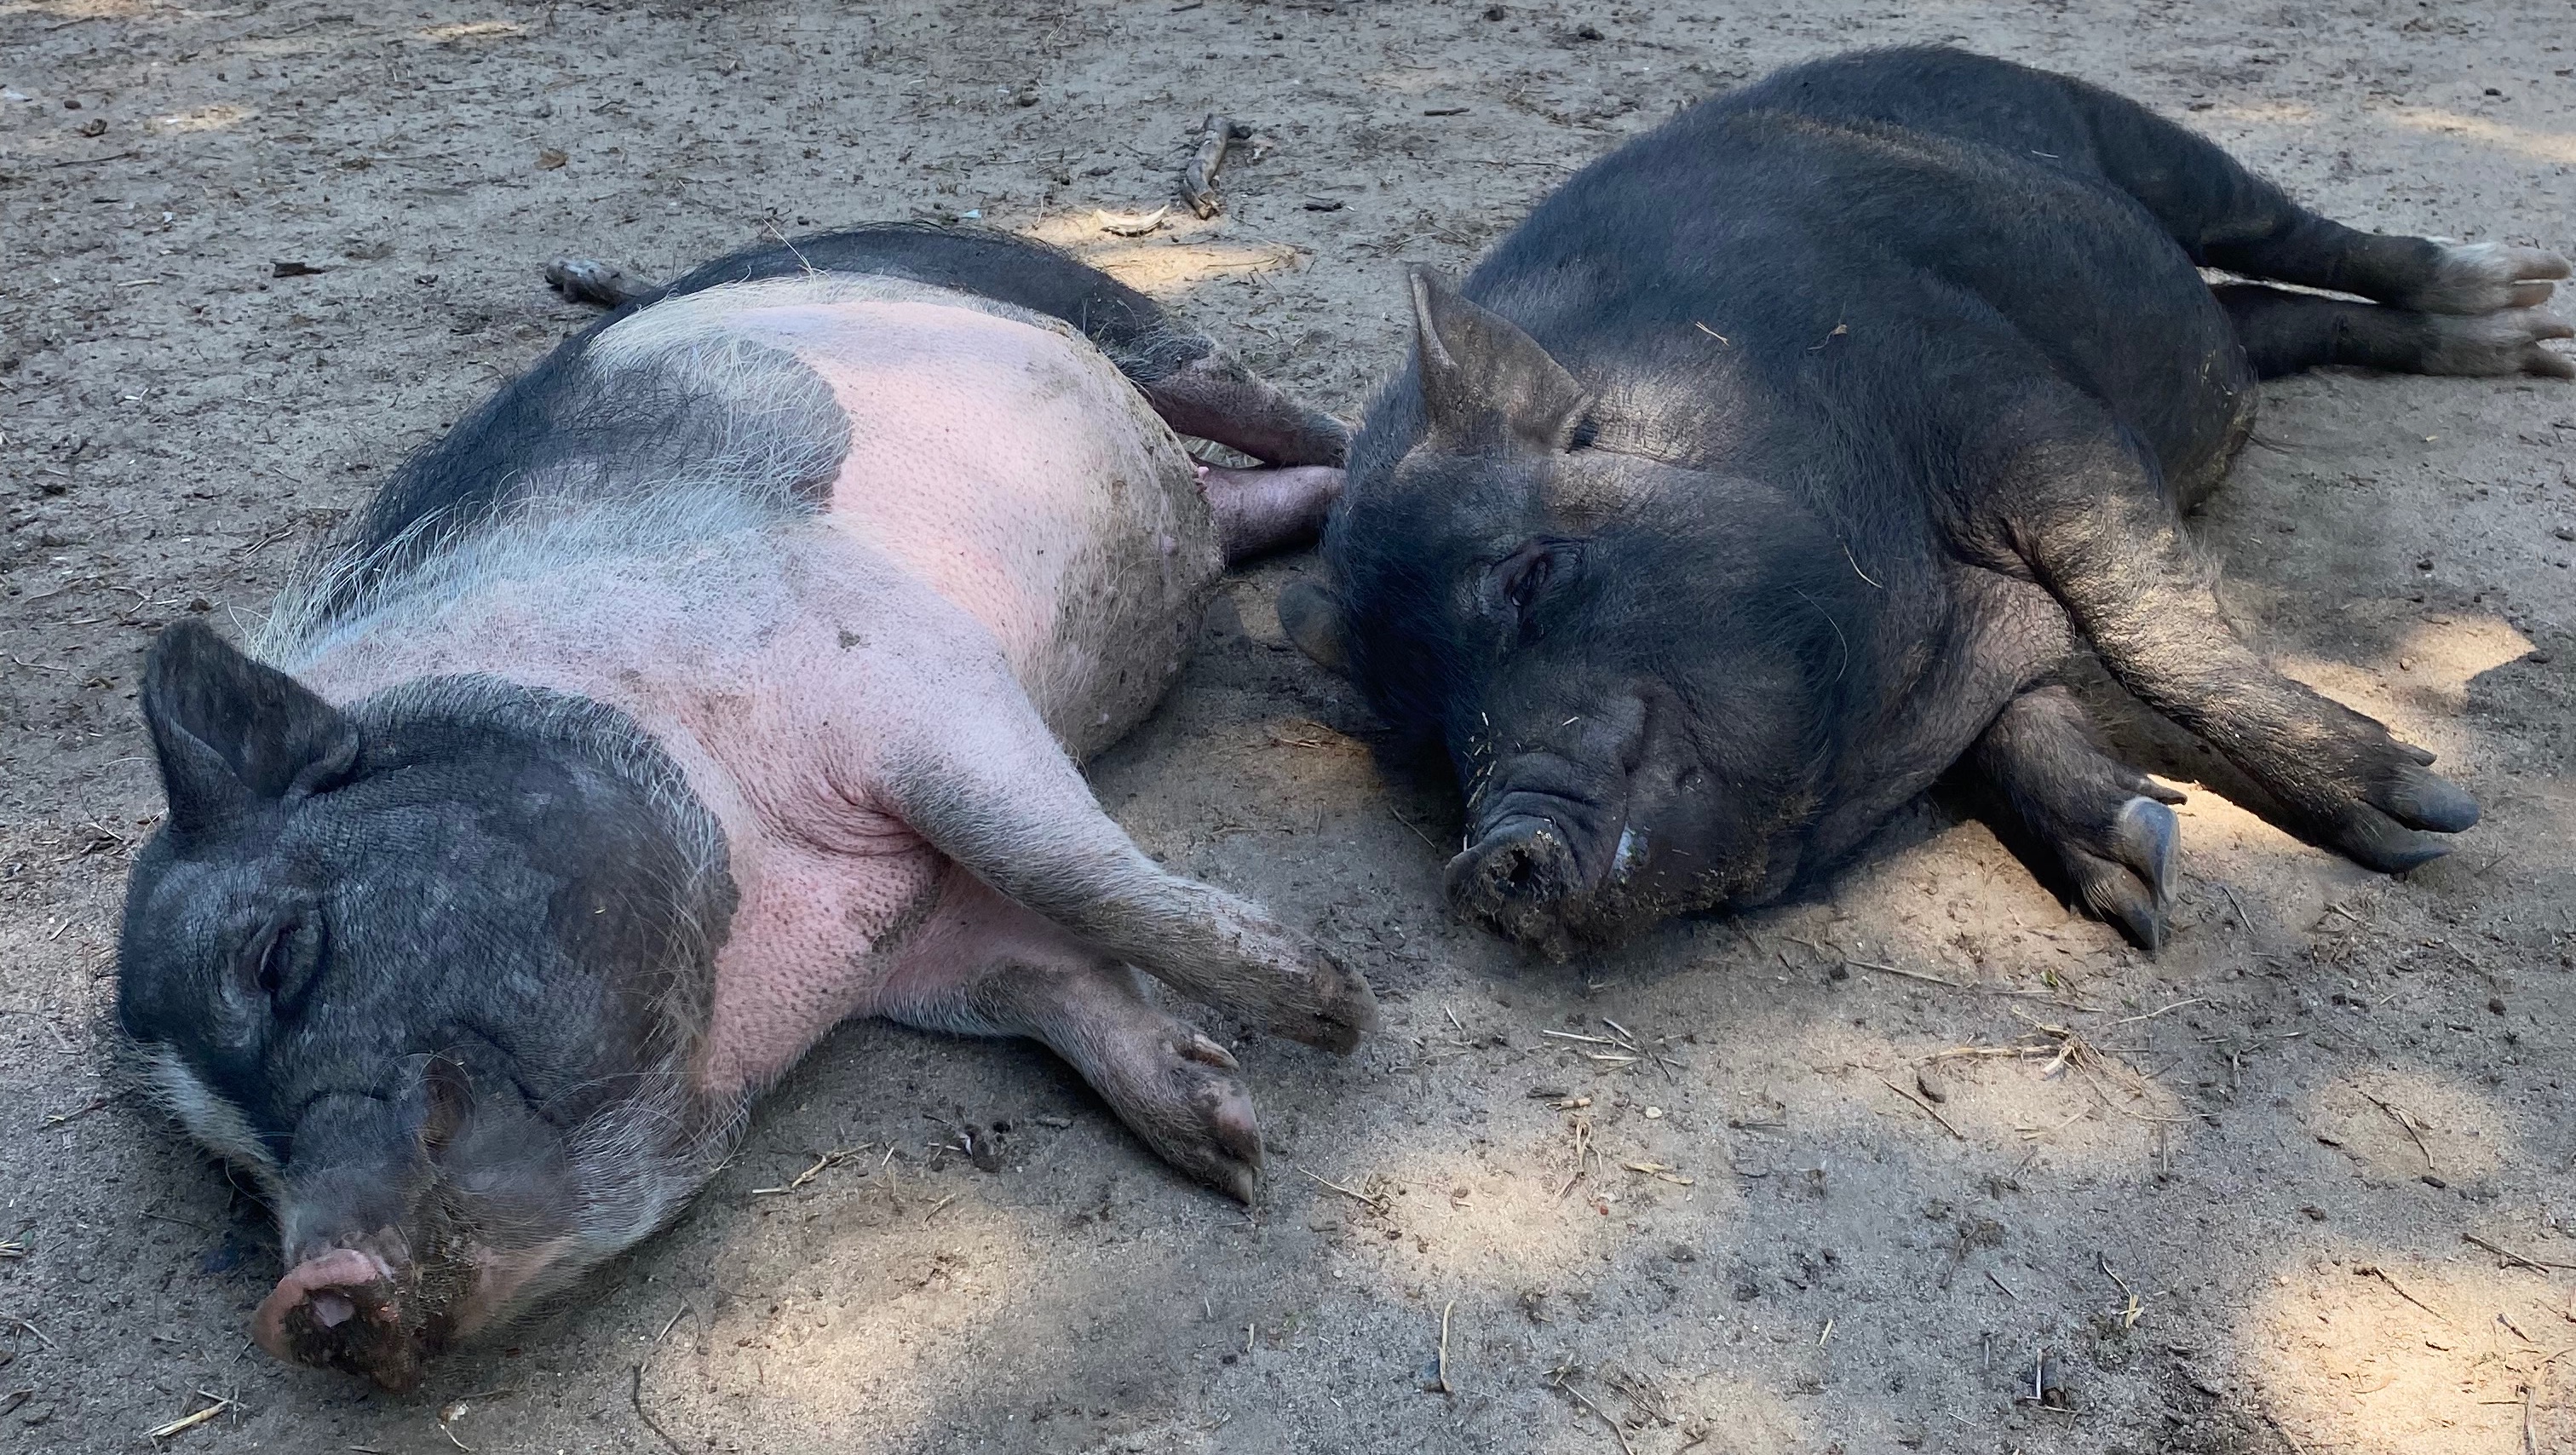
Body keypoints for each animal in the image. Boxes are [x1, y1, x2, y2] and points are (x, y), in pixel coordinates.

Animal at [116, 224, 1376, 1389]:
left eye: (278, 956)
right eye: (239, 1165)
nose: (309, 1296)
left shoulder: (887, 660)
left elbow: (1055, 865)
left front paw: (1335, 1007)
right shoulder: (933, 942)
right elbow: (1051, 975)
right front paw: (1230, 1144)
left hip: (1132, 327)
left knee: (1310, 425)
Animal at [1279, 47, 2570, 957]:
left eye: (1529, 573)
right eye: (1421, 730)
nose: (1488, 863)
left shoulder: (2010, 403)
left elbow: (2144, 624)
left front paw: (2422, 818)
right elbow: (2021, 716)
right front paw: (2140, 876)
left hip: (2135, 139)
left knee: (2305, 237)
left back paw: (2525, 306)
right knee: (2281, 318)